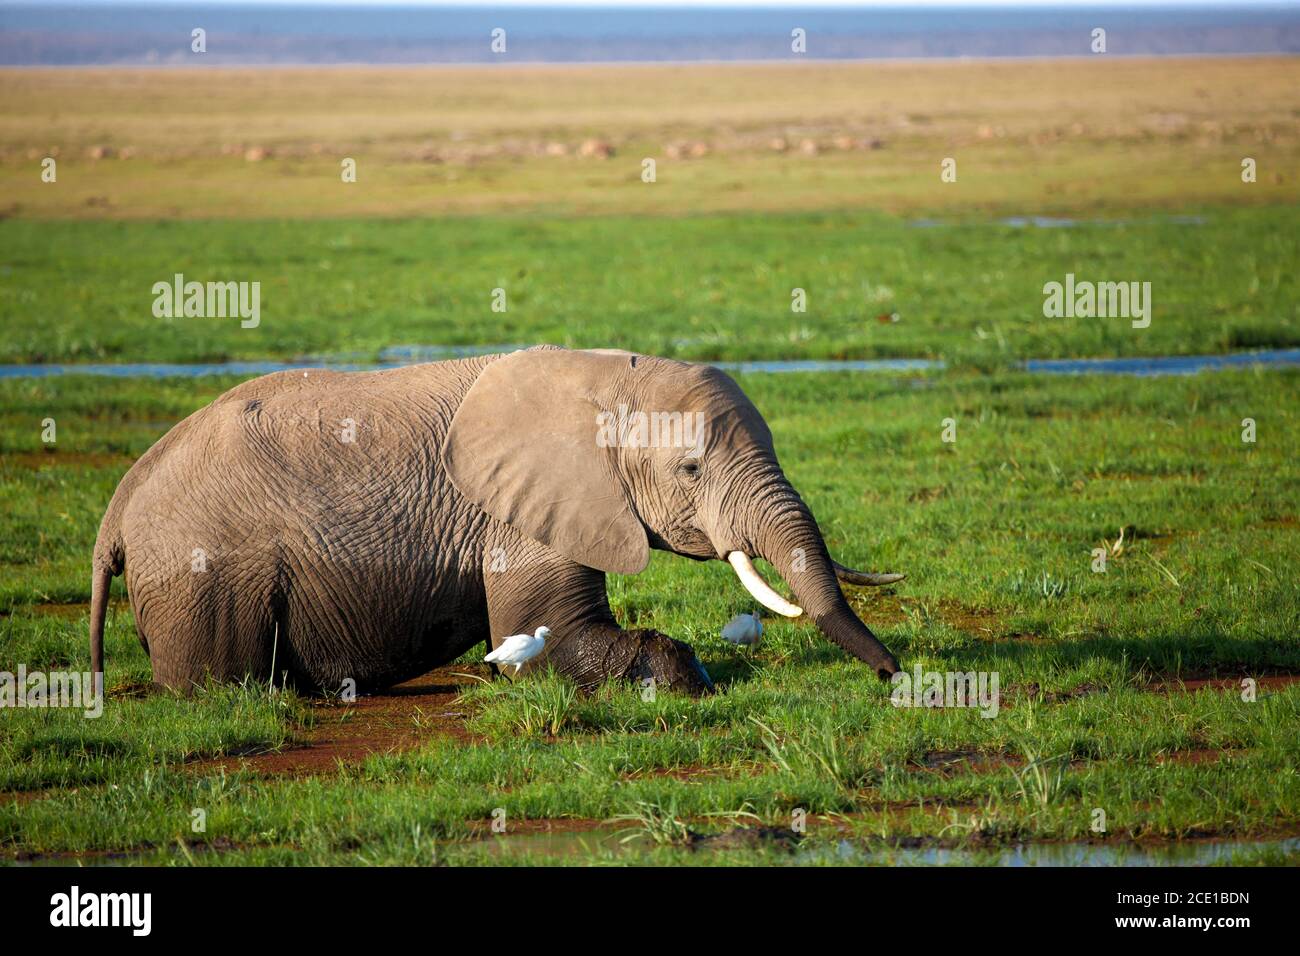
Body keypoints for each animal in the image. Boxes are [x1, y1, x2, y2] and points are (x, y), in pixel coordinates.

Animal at [89, 346, 903, 698]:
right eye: (692, 471)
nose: (894, 674)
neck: (604, 376)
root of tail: (117, 512)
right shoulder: (523, 515)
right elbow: (556, 636)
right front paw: (688, 678)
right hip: (204, 574)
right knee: (218, 683)